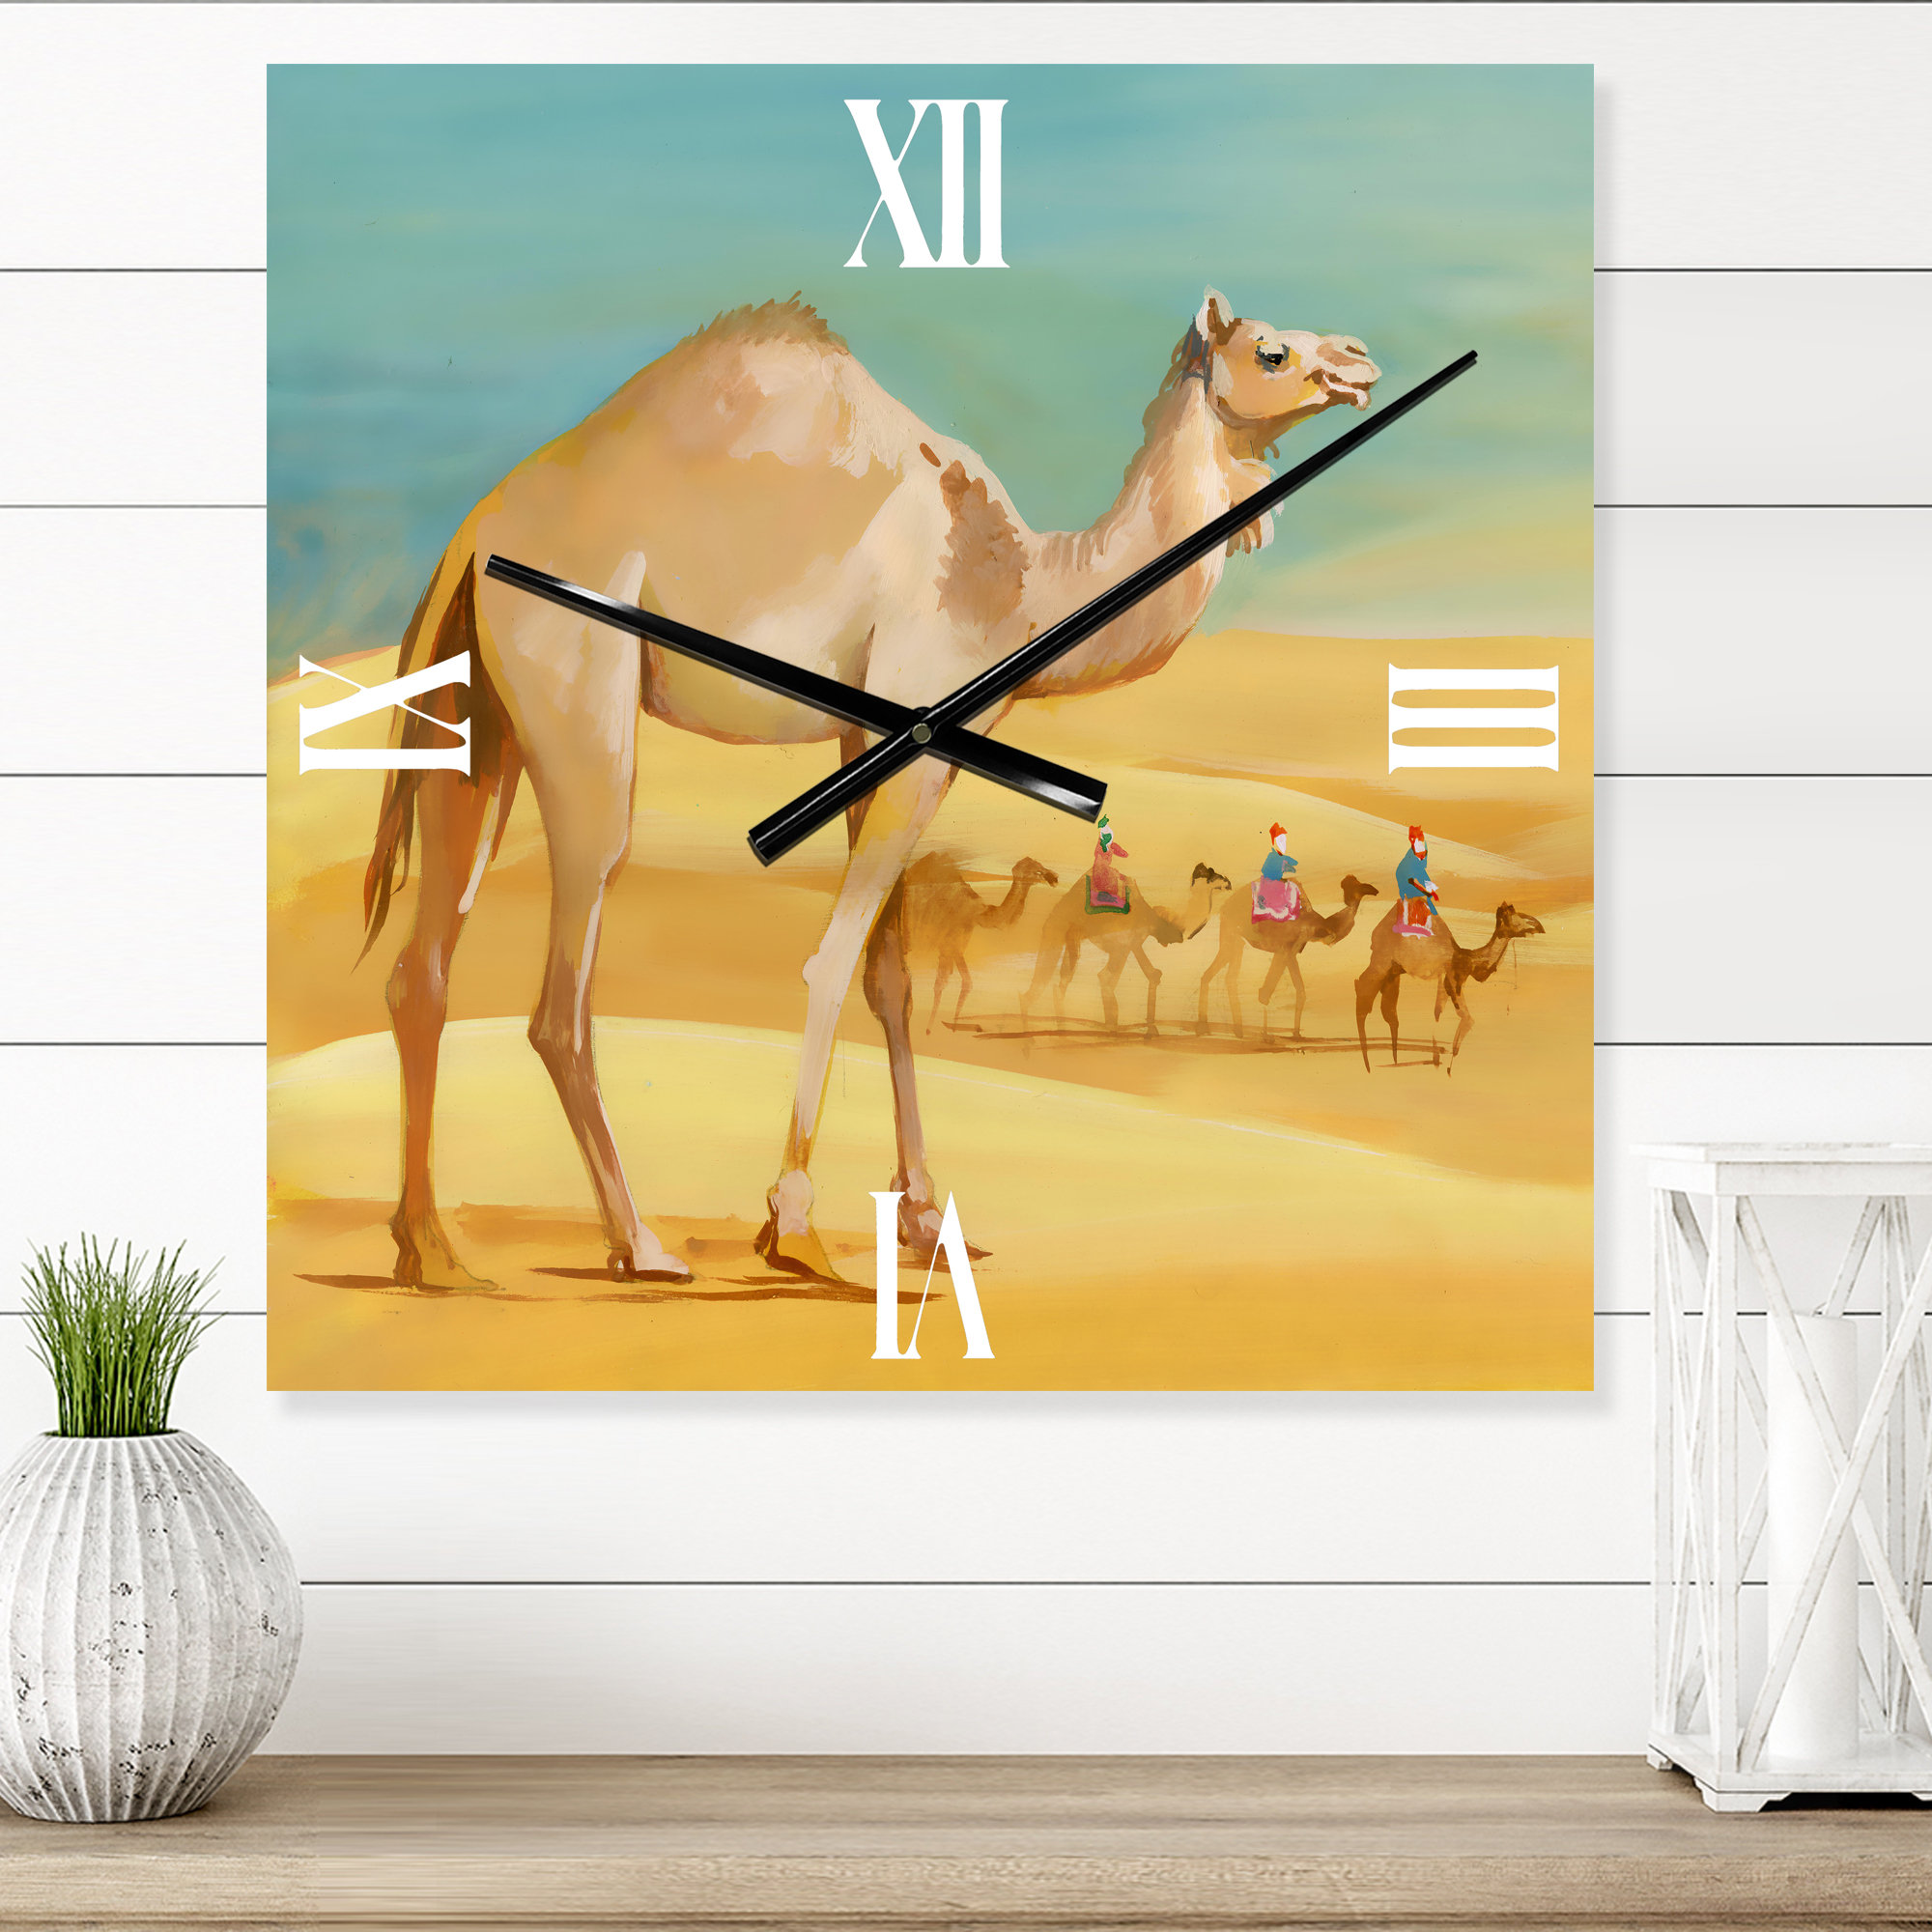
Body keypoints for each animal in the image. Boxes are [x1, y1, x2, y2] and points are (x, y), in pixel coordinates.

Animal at [903, 852, 1059, 1031]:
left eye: (1040, 865)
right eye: (1037, 871)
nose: (1055, 878)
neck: (978, 913)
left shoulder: (954, 945)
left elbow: (955, 982)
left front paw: (942, 1027)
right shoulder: (952, 943)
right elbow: (955, 983)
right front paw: (937, 1029)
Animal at [1022, 863, 1232, 1037]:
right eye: (1212, 874)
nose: (1229, 883)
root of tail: (1061, 907)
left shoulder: (1134, 943)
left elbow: (1152, 974)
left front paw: (1151, 1029)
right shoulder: (1123, 943)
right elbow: (1110, 977)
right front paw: (1120, 1029)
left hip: (1067, 936)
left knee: (1060, 982)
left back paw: (1059, 1029)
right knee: (1094, 978)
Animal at [1195, 873, 1380, 1040]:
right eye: (1359, 886)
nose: (1375, 890)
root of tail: (1224, 907)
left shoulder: (1292, 953)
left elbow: (1301, 992)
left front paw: (1296, 1033)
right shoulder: (1284, 950)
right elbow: (1265, 993)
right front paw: (1266, 1035)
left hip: (1235, 939)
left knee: (1218, 976)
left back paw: (1219, 1029)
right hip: (1232, 934)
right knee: (1227, 976)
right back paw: (1222, 1029)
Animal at [1352, 902, 1545, 1073]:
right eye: (1517, 919)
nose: (1539, 927)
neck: (1471, 961)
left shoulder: (1444, 980)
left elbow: (1438, 1014)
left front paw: (1438, 1059)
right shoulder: (1453, 980)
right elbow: (1467, 1019)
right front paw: (1448, 1068)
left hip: (1393, 970)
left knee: (1387, 1008)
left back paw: (1390, 1060)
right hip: (1383, 961)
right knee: (1364, 989)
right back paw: (1370, 1065)